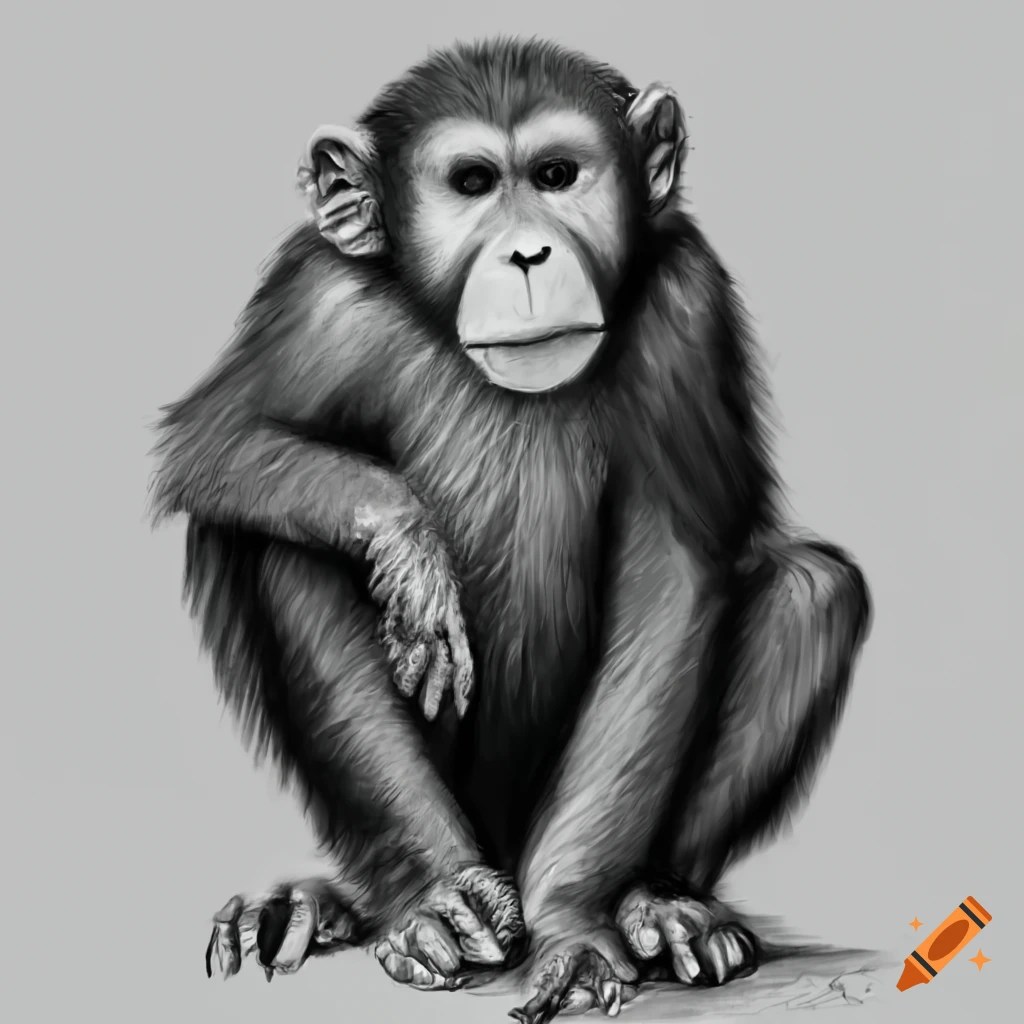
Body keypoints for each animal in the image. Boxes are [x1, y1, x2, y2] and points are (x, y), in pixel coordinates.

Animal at [149, 37, 871, 1023]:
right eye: (473, 183)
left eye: (558, 176)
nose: (528, 250)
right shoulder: (314, 302)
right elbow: (222, 441)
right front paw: (406, 547)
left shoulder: (687, 308)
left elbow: (668, 586)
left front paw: (573, 927)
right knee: (278, 536)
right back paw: (355, 905)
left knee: (814, 594)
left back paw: (657, 904)